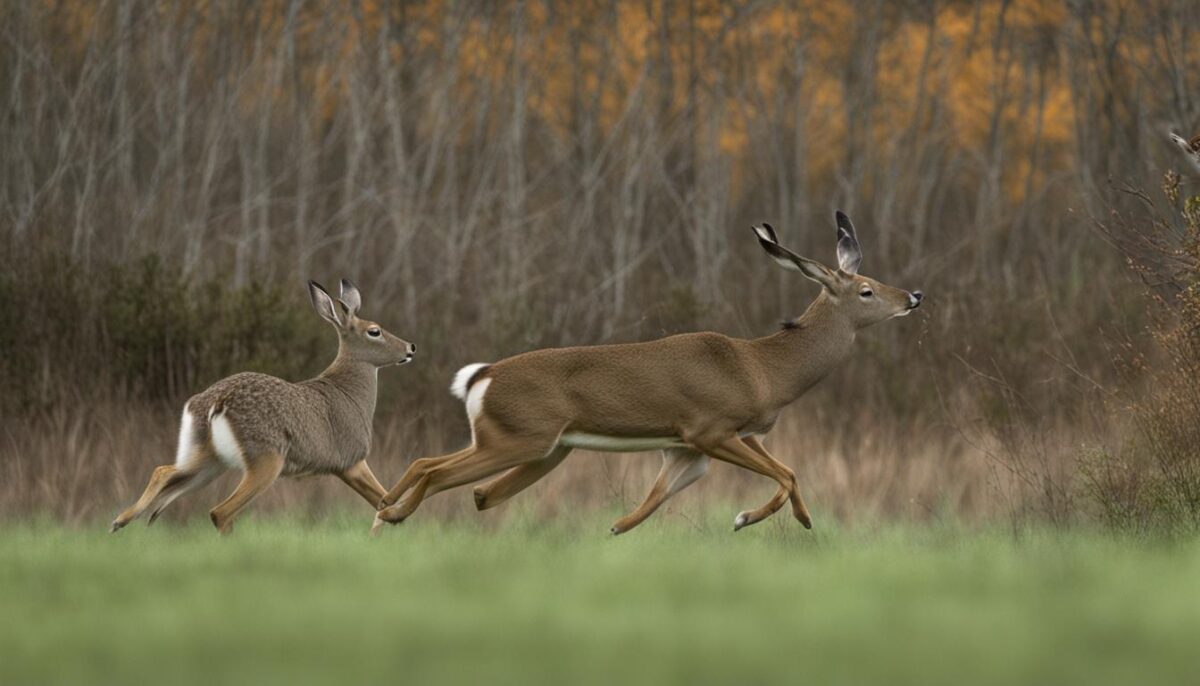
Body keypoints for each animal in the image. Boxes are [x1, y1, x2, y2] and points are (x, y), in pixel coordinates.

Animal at [111, 279, 415, 534]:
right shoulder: (351, 459)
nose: (410, 347)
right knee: (220, 511)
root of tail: (212, 404)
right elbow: (387, 502)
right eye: (374, 331)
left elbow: (385, 501)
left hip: (208, 457)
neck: (351, 394)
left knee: (163, 472)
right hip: (265, 458)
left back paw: (120, 521)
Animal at [371, 212, 921, 536]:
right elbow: (784, 473)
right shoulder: (711, 427)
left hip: (542, 447)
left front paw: (618, 525)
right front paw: (746, 518)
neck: (765, 370)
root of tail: (478, 377)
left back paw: (386, 514)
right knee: (439, 471)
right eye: (867, 290)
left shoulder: (690, 447)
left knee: (457, 481)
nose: (914, 296)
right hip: (520, 437)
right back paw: (389, 517)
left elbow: (665, 494)